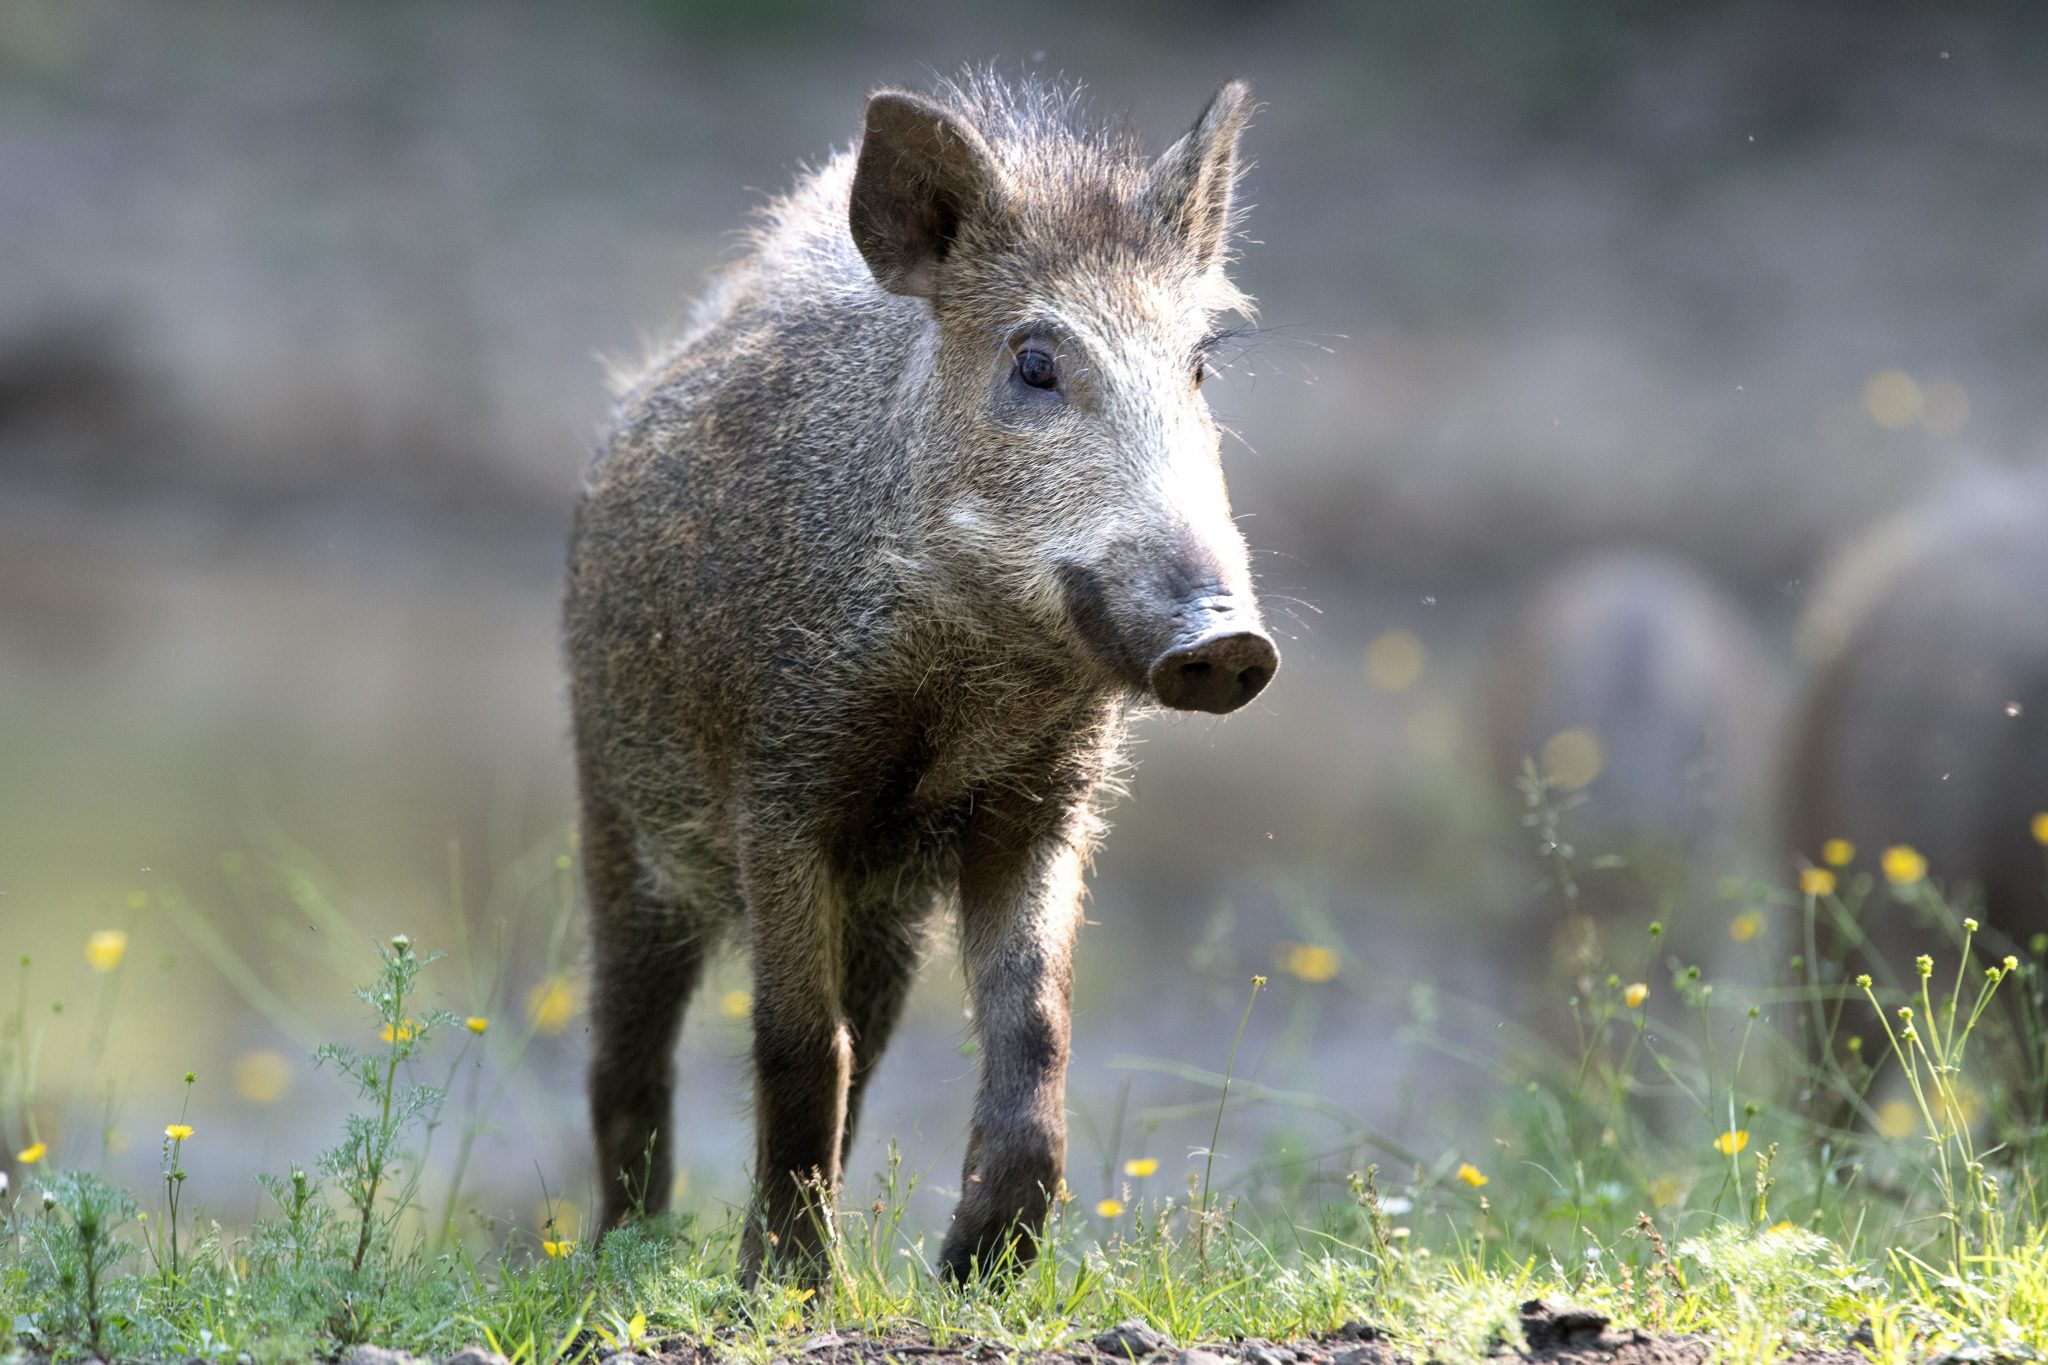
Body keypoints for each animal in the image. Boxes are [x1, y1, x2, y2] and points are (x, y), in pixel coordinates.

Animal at [564, 71, 1276, 1284]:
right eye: (1034, 361)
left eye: (1198, 365)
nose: (1229, 639)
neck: (968, 681)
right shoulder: (779, 791)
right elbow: (799, 1043)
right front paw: (789, 1288)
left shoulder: (1038, 806)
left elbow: (1035, 1028)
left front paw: (978, 1269)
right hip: (620, 825)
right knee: (626, 1054)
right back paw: (631, 1255)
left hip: (884, 916)